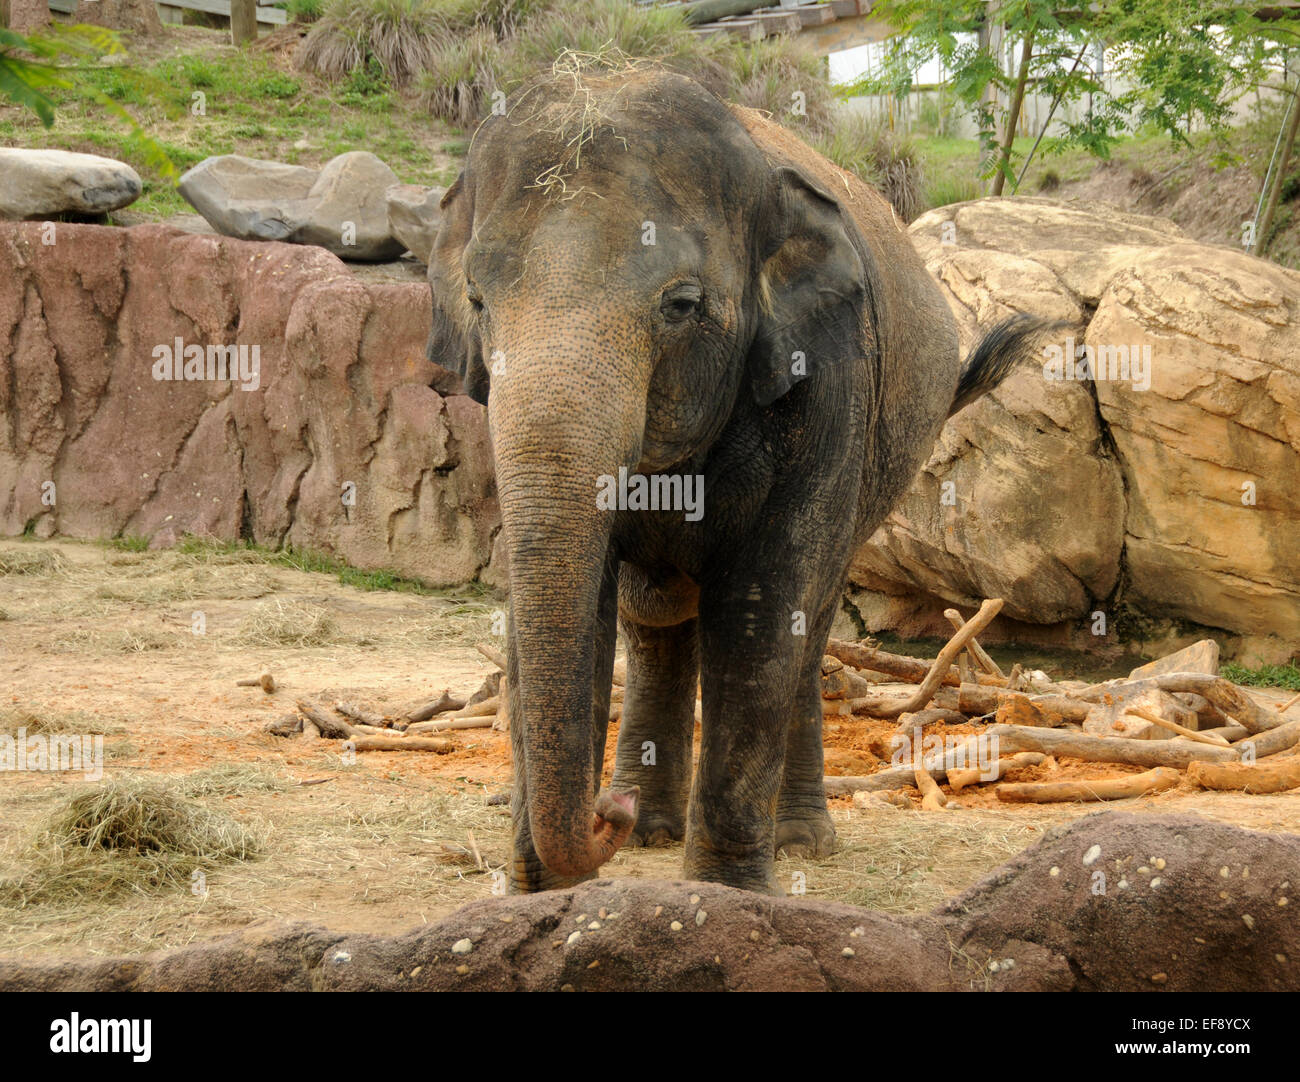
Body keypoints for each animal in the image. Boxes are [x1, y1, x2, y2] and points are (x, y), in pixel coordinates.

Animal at [426, 65, 1054, 895]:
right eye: (476, 300)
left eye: (682, 305)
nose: (606, 813)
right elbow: (565, 614)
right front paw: (539, 899)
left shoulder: (829, 377)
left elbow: (762, 608)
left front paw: (722, 901)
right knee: (655, 626)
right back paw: (654, 829)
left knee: (809, 621)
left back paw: (795, 841)